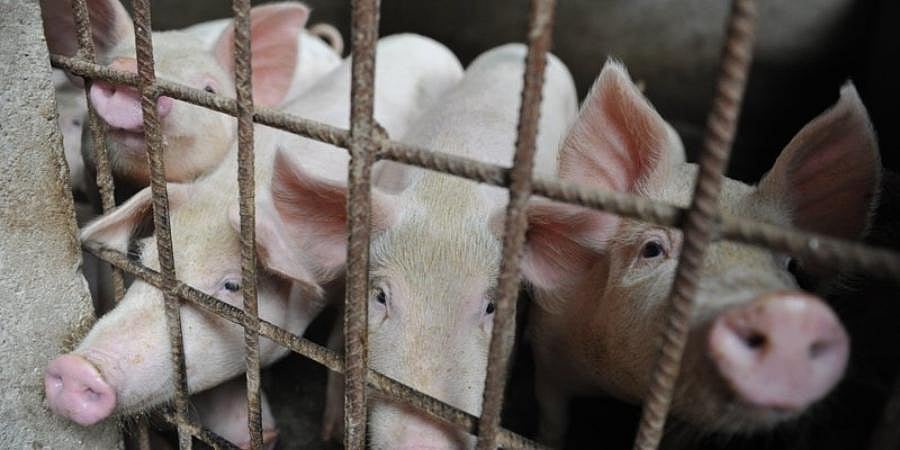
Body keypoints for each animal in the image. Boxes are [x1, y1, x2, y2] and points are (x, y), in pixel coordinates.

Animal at [518, 60, 881, 446]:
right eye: (652, 249)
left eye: (794, 265)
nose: (791, 313)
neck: (622, 388)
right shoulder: (550, 350)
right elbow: (552, 419)